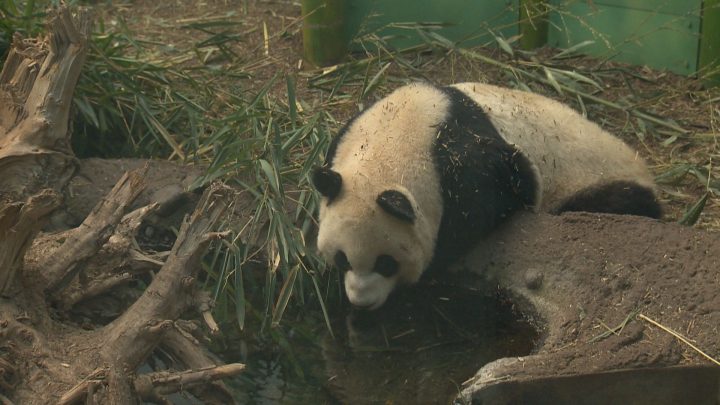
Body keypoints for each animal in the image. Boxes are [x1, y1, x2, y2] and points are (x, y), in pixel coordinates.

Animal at [312, 82, 661, 310]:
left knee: (620, 202)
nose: (361, 302)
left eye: (386, 263)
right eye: (342, 259)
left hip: (596, 177)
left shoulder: (470, 171)